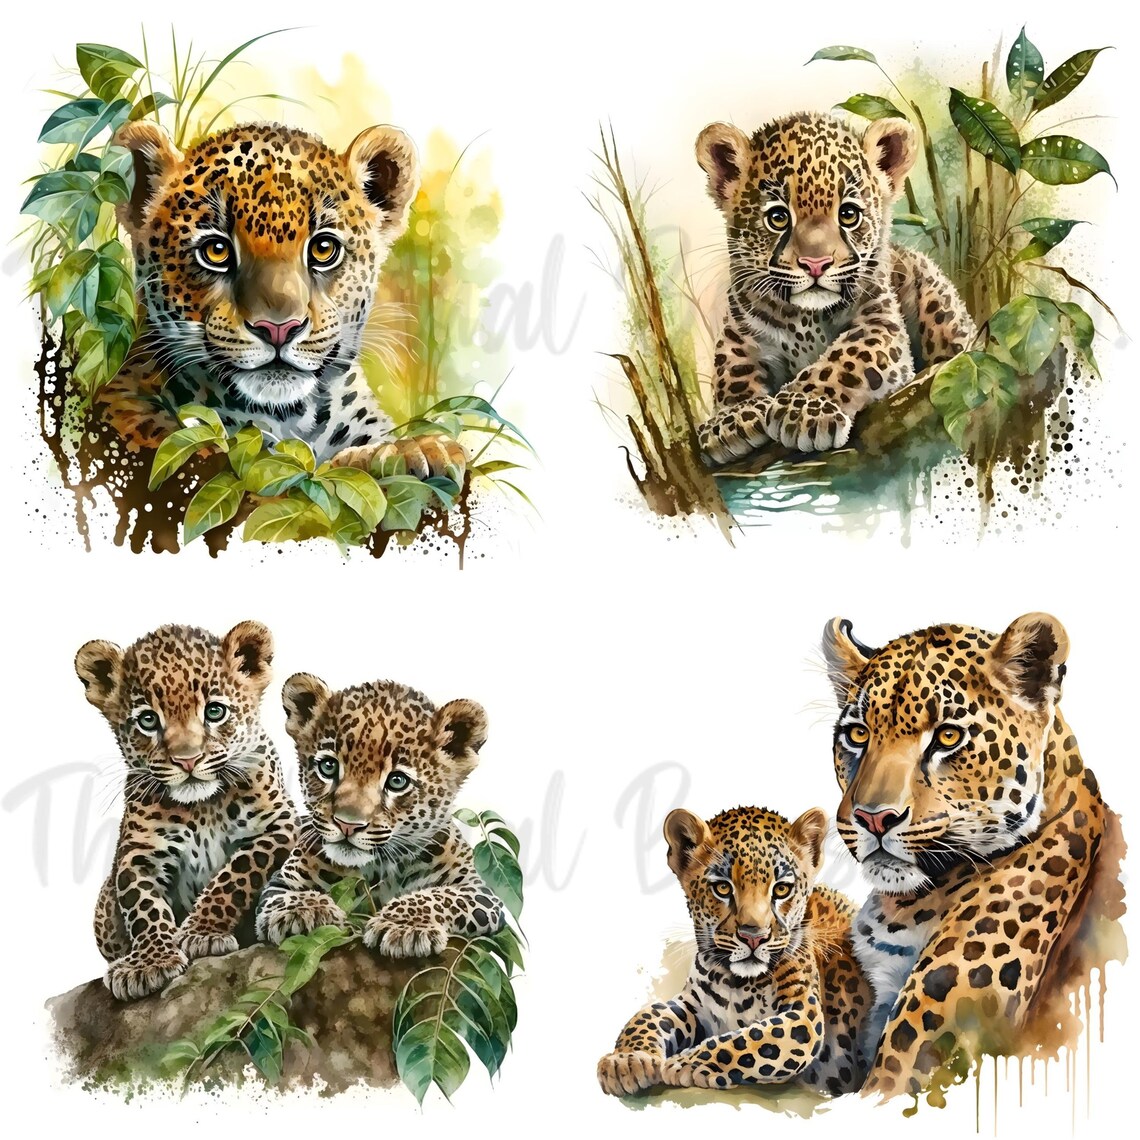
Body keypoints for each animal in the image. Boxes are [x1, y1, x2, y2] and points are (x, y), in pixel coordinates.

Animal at [75, 621, 296, 1001]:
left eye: (215, 711)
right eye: (148, 720)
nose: (187, 760)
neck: (201, 807)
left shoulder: (280, 825)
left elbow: (237, 872)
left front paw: (202, 931)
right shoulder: (139, 852)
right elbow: (143, 904)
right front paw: (149, 963)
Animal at [256, 674, 504, 957]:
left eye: (397, 781)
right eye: (328, 766)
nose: (347, 825)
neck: (383, 869)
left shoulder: (479, 891)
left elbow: (439, 897)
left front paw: (403, 925)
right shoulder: (283, 882)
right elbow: (285, 896)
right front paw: (303, 911)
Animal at [598, 805, 871, 1098]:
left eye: (782, 889)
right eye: (722, 887)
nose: (754, 936)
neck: (735, 982)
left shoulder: (803, 1016)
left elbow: (752, 1040)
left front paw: (687, 1063)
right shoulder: (694, 1005)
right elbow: (650, 1014)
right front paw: (625, 1061)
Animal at [694, 112, 976, 462]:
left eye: (849, 214)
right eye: (777, 217)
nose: (816, 264)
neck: (803, 318)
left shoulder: (879, 322)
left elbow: (848, 356)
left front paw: (804, 409)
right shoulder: (740, 330)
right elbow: (730, 369)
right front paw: (732, 418)